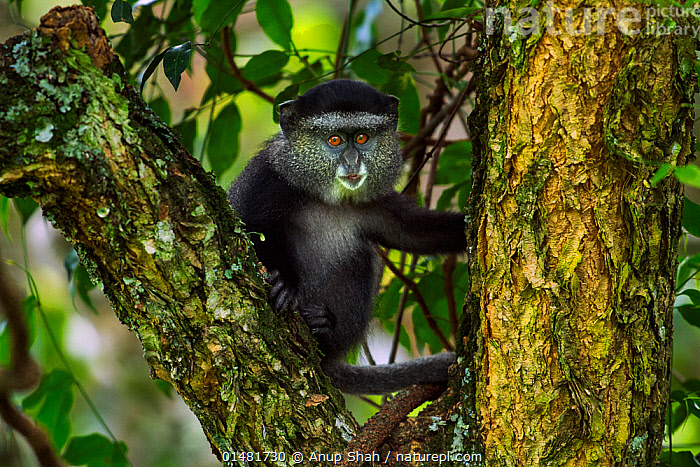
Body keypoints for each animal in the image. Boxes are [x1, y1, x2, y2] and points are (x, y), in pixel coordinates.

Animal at [228, 80, 467, 394]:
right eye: (335, 140)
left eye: (362, 138)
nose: (353, 161)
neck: (326, 198)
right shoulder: (266, 180)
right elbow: (249, 229)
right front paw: (284, 283)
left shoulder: (376, 202)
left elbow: (412, 233)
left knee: (359, 258)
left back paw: (322, 331)